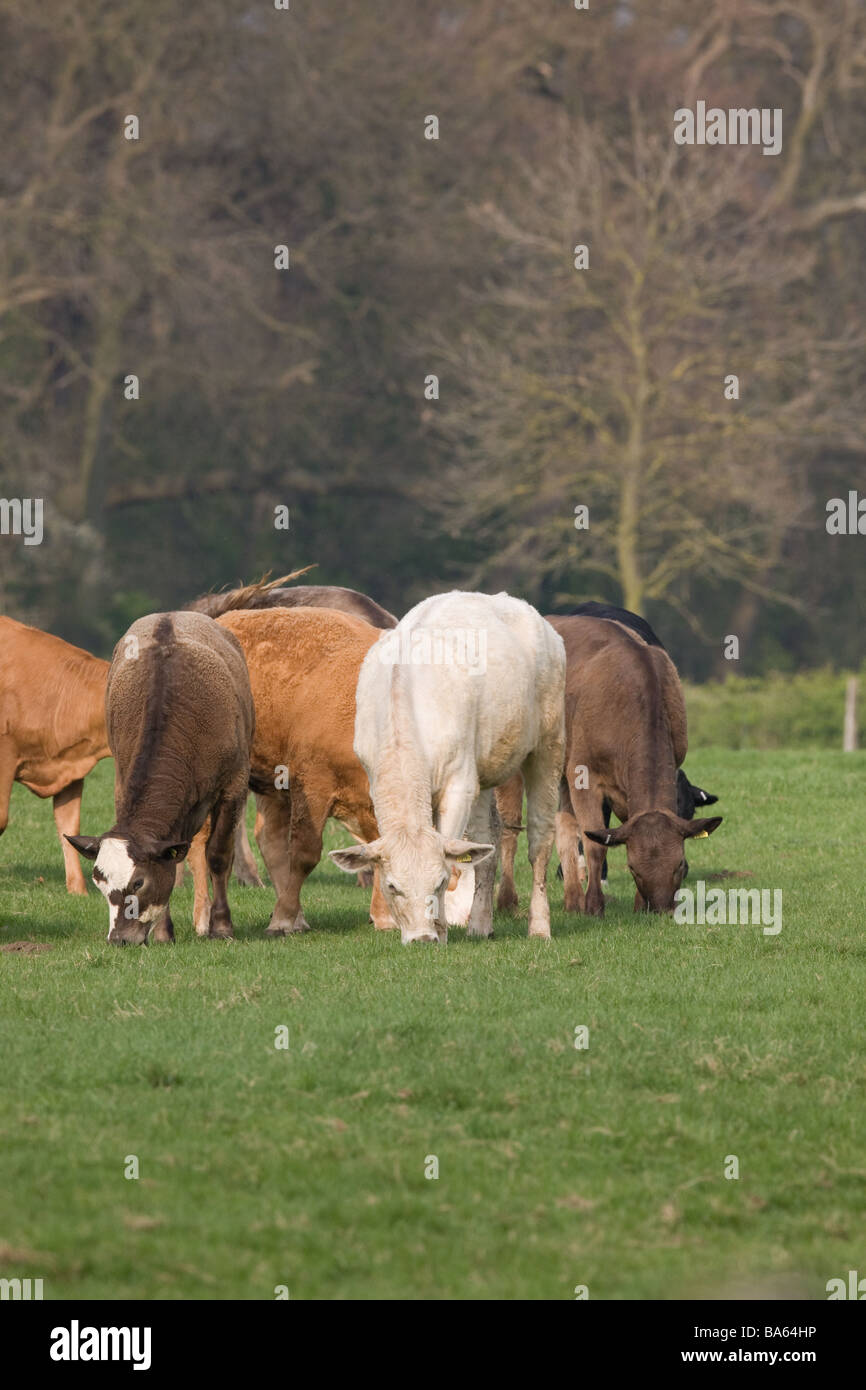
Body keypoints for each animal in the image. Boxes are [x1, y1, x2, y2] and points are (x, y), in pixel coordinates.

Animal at [66, 612, 254, 944]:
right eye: (99, 883)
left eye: (138, 883)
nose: (120, 938)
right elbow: (172, 861)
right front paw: (165, 932)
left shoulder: (233, 783)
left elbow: (219, 855)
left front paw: (221, 927)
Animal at [328, 591, 566, 944]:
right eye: (392, 886)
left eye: (440, 882)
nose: (422, 939)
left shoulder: (459, 784)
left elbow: (451, 848)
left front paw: (441, 927)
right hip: (484, 770)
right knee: (487, 841)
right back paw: (480, 925)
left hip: (549, 745)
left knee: (540, 840)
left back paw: (539, 927)